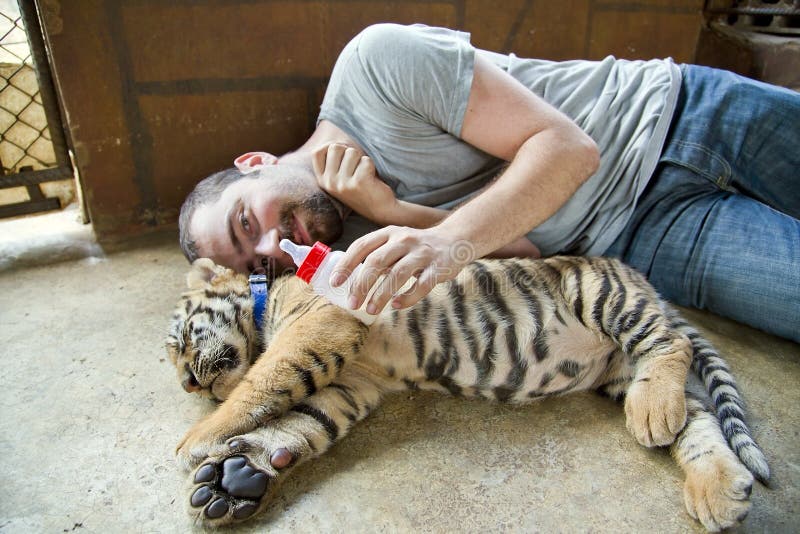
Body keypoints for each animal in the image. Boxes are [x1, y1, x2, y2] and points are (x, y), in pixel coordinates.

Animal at [167, 255, 769, 531]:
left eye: (180, 341)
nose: (189, 383)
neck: (266, 300)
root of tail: (639, 277)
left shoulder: (322, 323)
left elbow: (264, 380)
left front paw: (195, 440)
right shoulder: (351, 385)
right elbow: (301, 420)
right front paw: (236, 473)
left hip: (602, 295)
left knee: (672, 343)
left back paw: (657, 414)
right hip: (621, 372)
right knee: (698, 417)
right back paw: (716, 486)